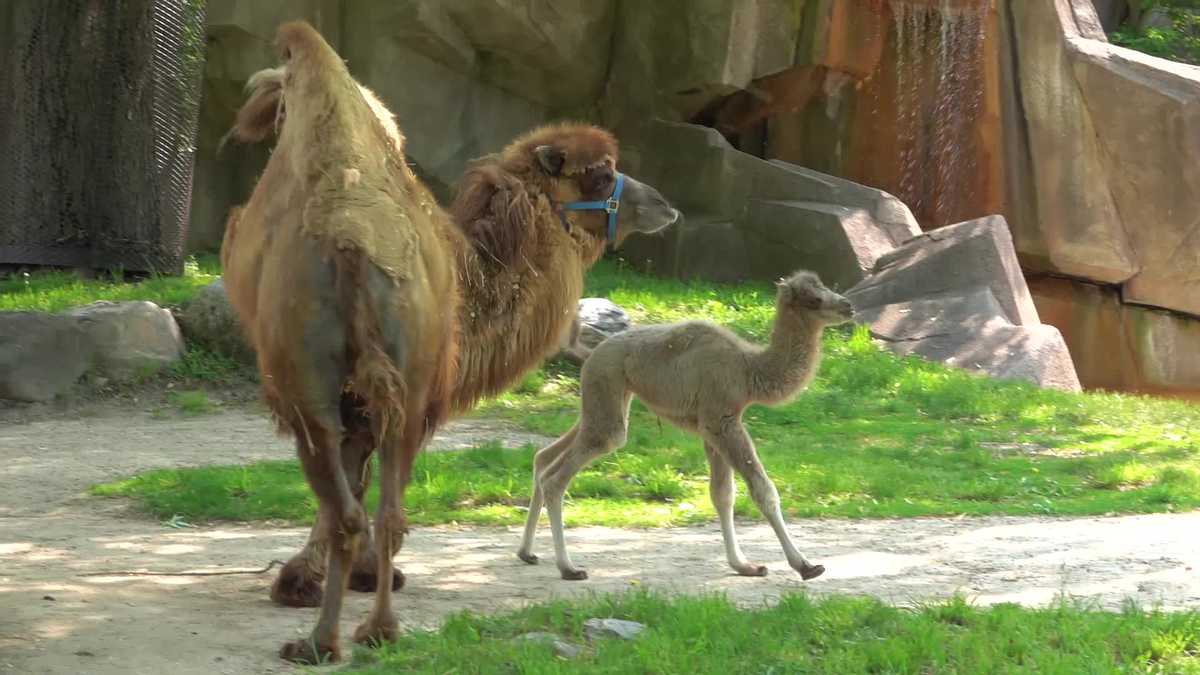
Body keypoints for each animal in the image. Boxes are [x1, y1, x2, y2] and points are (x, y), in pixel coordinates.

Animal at [219, 22, 678, 664]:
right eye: (602, 172)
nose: (665, 204)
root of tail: (351, 247)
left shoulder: (373, 394)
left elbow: (358, 480)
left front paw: (328, 578)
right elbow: (361, 479)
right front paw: (319, 579)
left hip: (334, 384)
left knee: (359, 503)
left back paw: (341, 635)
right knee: (370, 504)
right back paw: (358, 629)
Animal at [517, 270, 854, 581]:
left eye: (826, 286)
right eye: (814, 299)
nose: (848, 306)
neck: (748, 370)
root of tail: (589, 355)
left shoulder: (711, 427)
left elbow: (722, 494)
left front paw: (744, 565)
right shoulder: (722, 420)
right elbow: (763, 490)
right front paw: (806, 565)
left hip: (606, 399)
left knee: (545, 457)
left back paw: (528, 553)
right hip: (607, 392)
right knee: (562, 473)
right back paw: (569, 568)